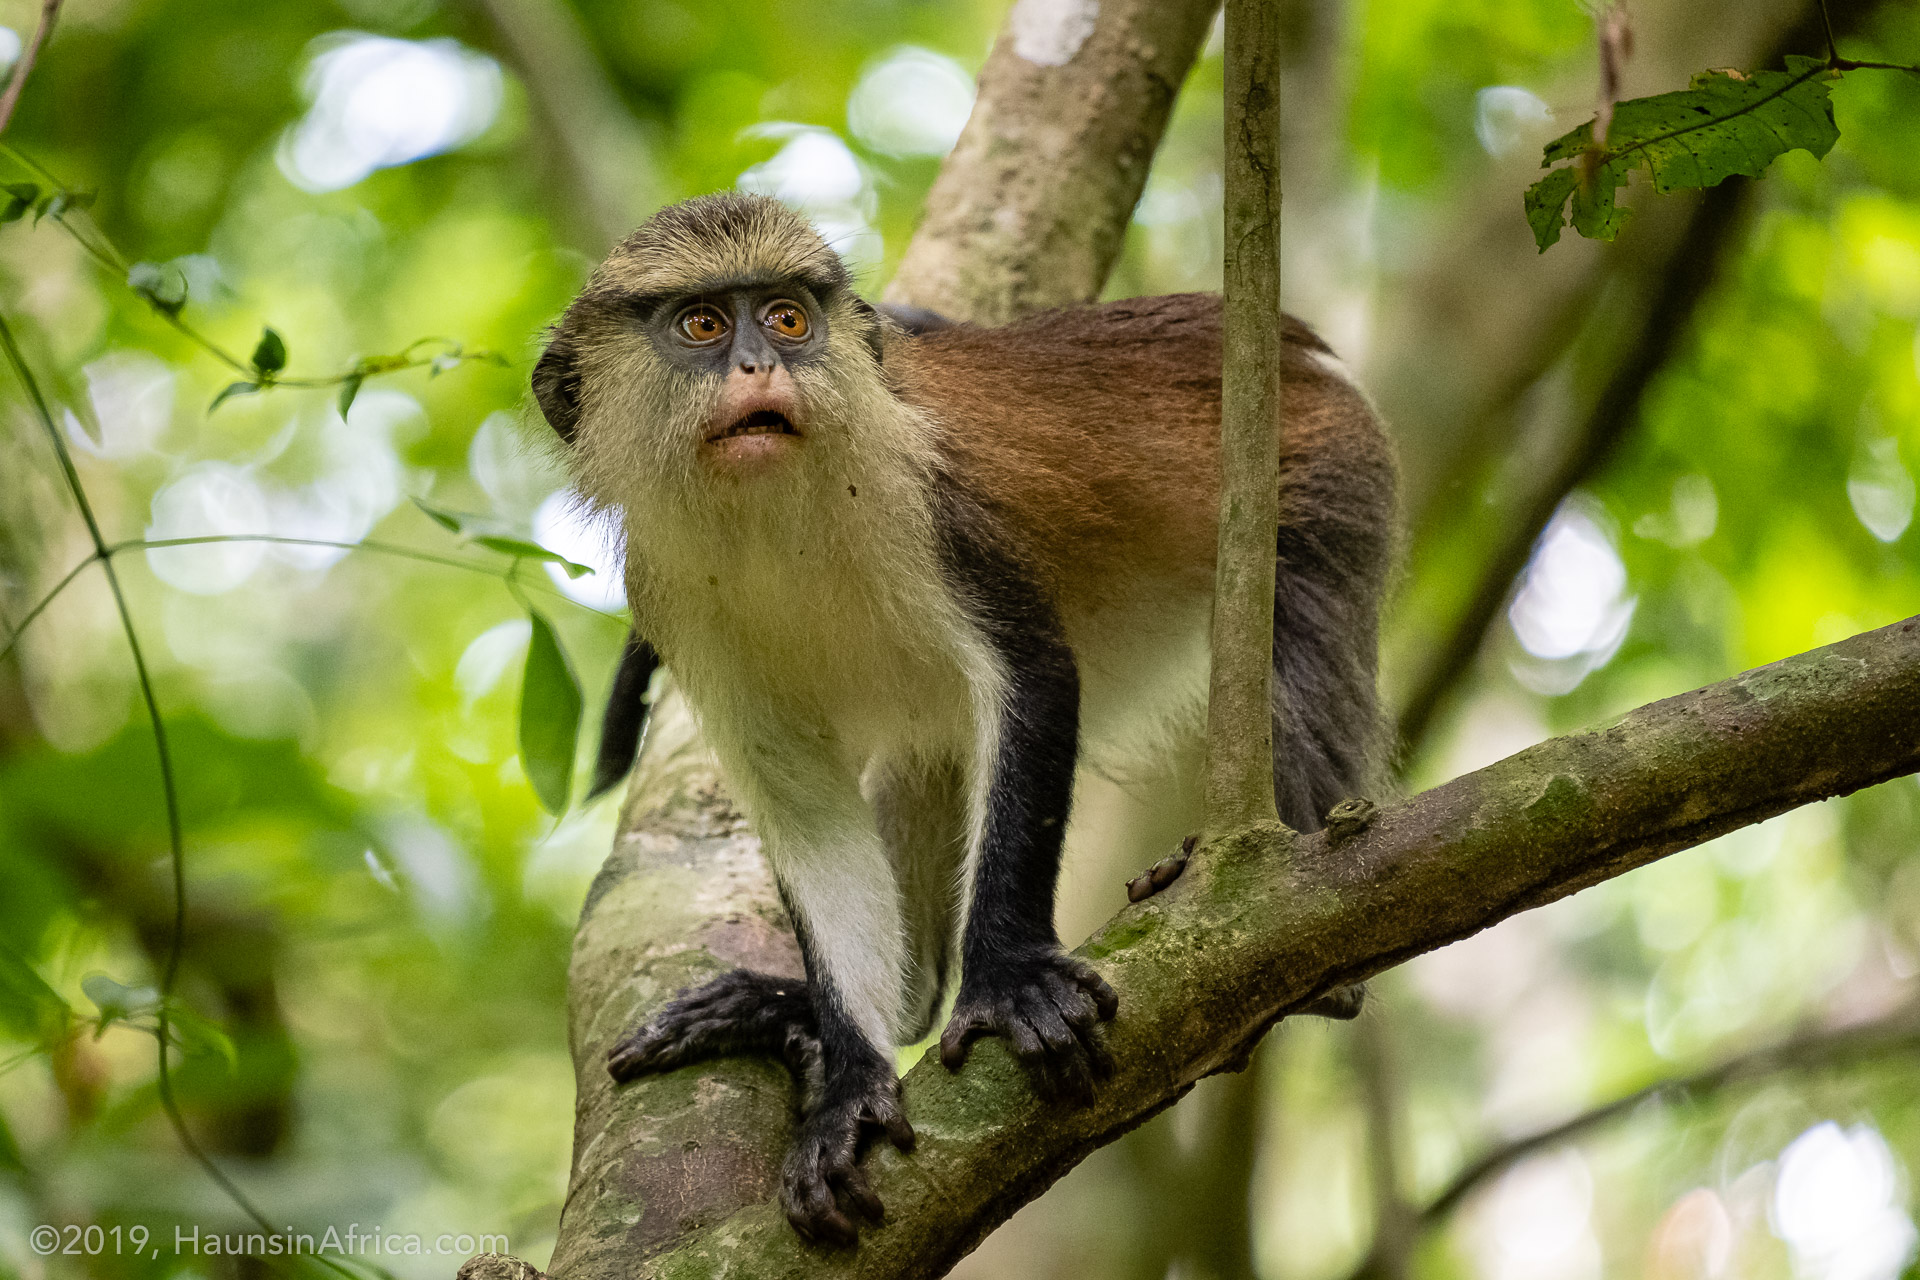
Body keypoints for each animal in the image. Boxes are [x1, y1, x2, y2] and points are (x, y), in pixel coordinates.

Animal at [531, 193, 1396, 1246]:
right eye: (701, 324)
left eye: (785, 317)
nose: (759, 366)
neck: (771, 515)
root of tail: (1299, 348)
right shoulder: (673, 601)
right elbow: (804, 808)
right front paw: (847, 1088)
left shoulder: (940, 517)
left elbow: (1034, 670)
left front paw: (1009, 982)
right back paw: (801, 1015)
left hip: (1321, 476)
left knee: (1296, 637)